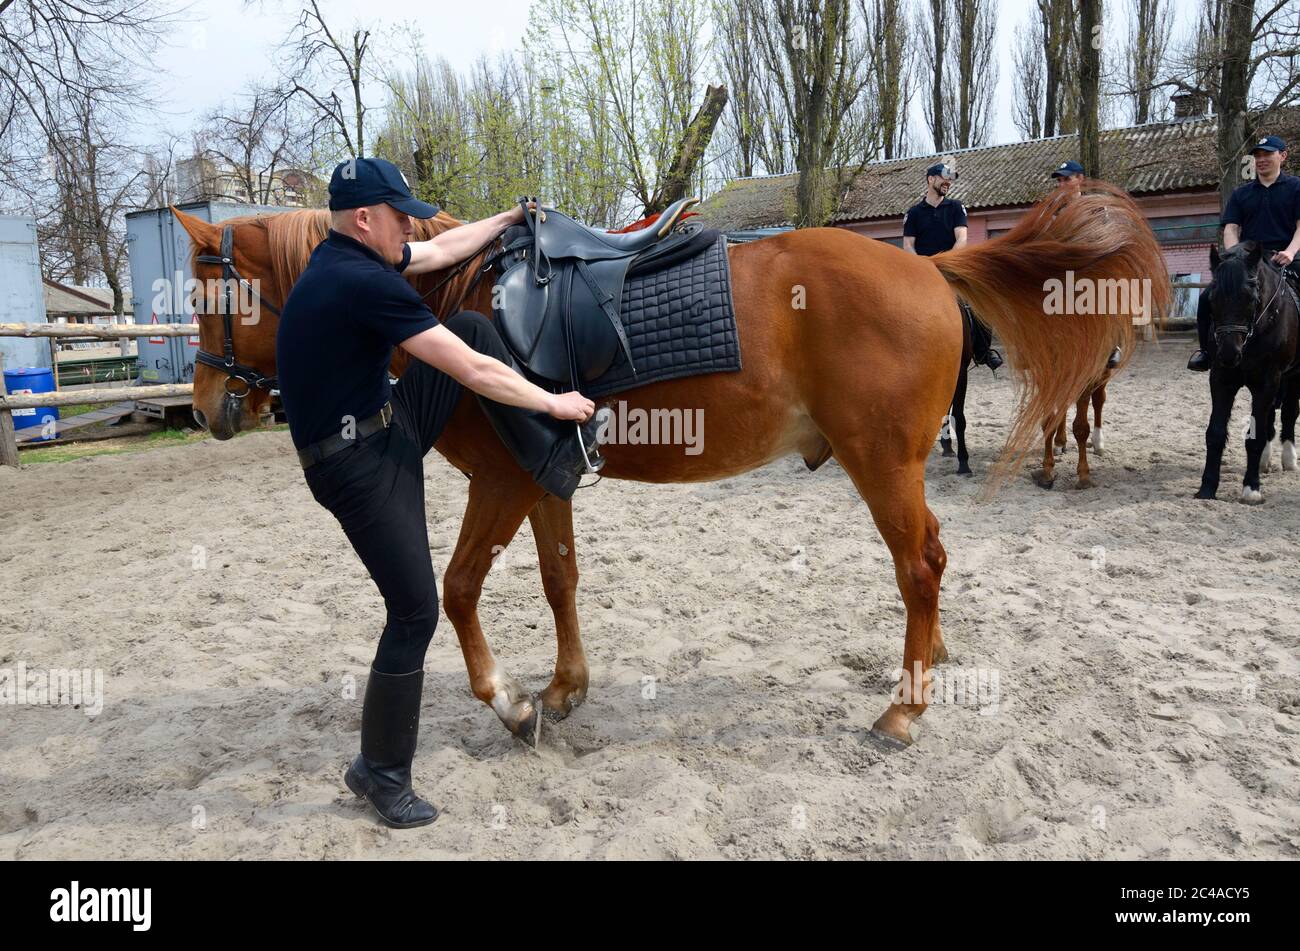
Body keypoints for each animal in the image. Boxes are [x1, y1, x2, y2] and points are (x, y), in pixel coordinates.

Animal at [173, 180, 1167, 748]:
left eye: (210, 294)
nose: (208, 406)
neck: (454, 301)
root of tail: (930, 268)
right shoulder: (542, 476)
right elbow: (560, 578)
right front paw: (565, 687)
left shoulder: (501, 481)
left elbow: (456, 590)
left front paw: (512, 703)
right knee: (933, 561)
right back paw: (933, 661)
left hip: (881, 463)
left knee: (919, 564)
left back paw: (904, 708)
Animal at [1195, 242, 1300, 503]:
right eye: (1212, 299)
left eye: (1251, 299)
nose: (1229, 353)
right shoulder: (1222, 379)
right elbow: (1215, 433)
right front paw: (1207, 488)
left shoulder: (1267, 381)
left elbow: (1256, 437)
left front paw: (1251, 489)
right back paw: (1265, 461)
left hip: (1293, 376)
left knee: (1289, 411)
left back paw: (1289, 458)